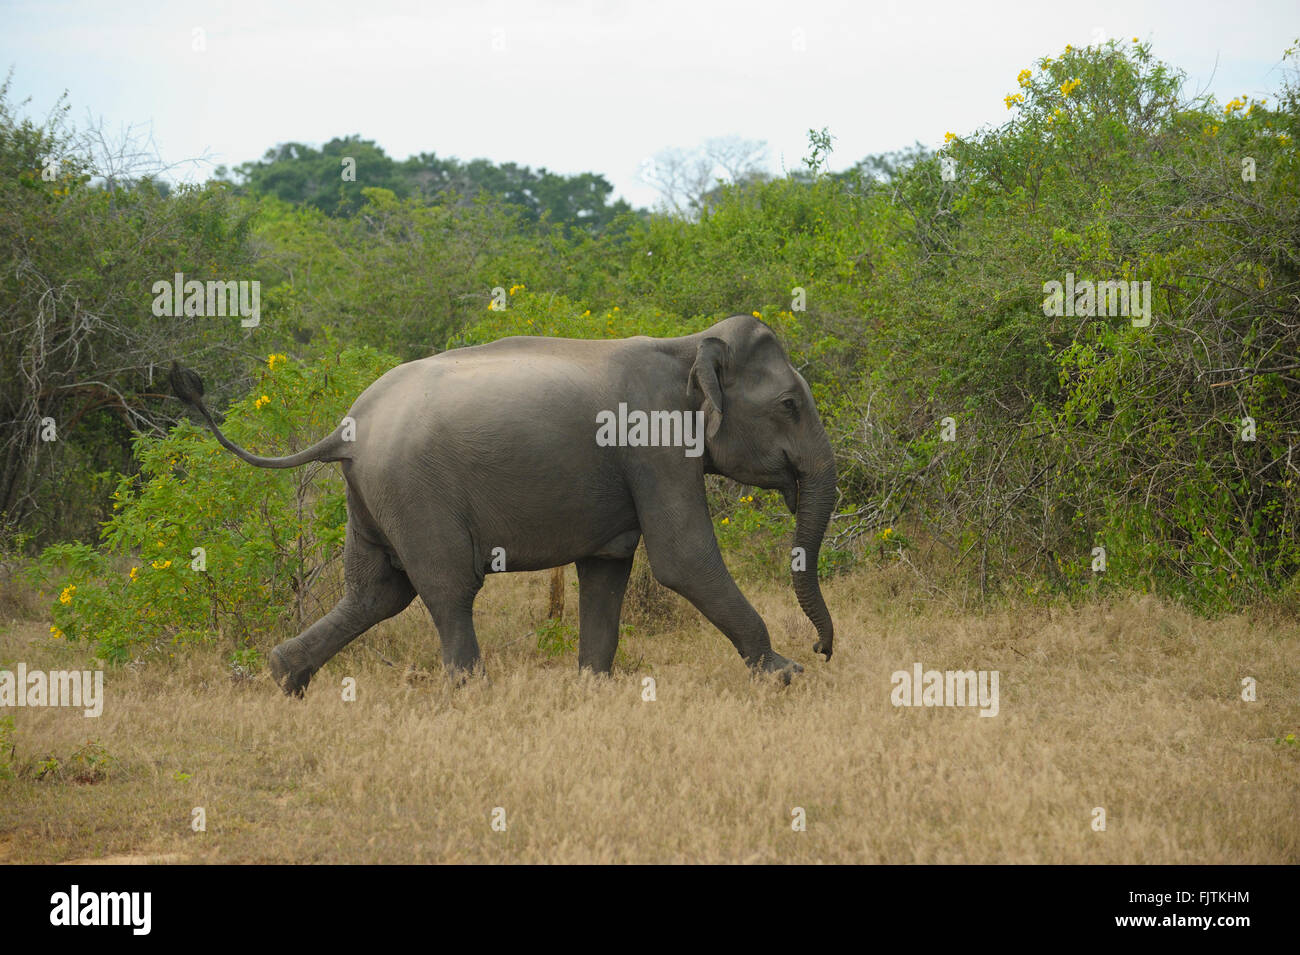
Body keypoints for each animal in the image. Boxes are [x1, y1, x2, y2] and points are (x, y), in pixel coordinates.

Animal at [169, 314, 837, 695]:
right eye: (788, 405)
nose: (822, 651)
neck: (689, 345)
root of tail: (344, 429)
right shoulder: (654, 445)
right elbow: (684, 560)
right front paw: (784, 677)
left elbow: (607, 568)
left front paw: (593, 689)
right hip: (415, 491)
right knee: (445, 589)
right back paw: (473, 693)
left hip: (370, 496)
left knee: (376, 594)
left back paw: (285, 677)